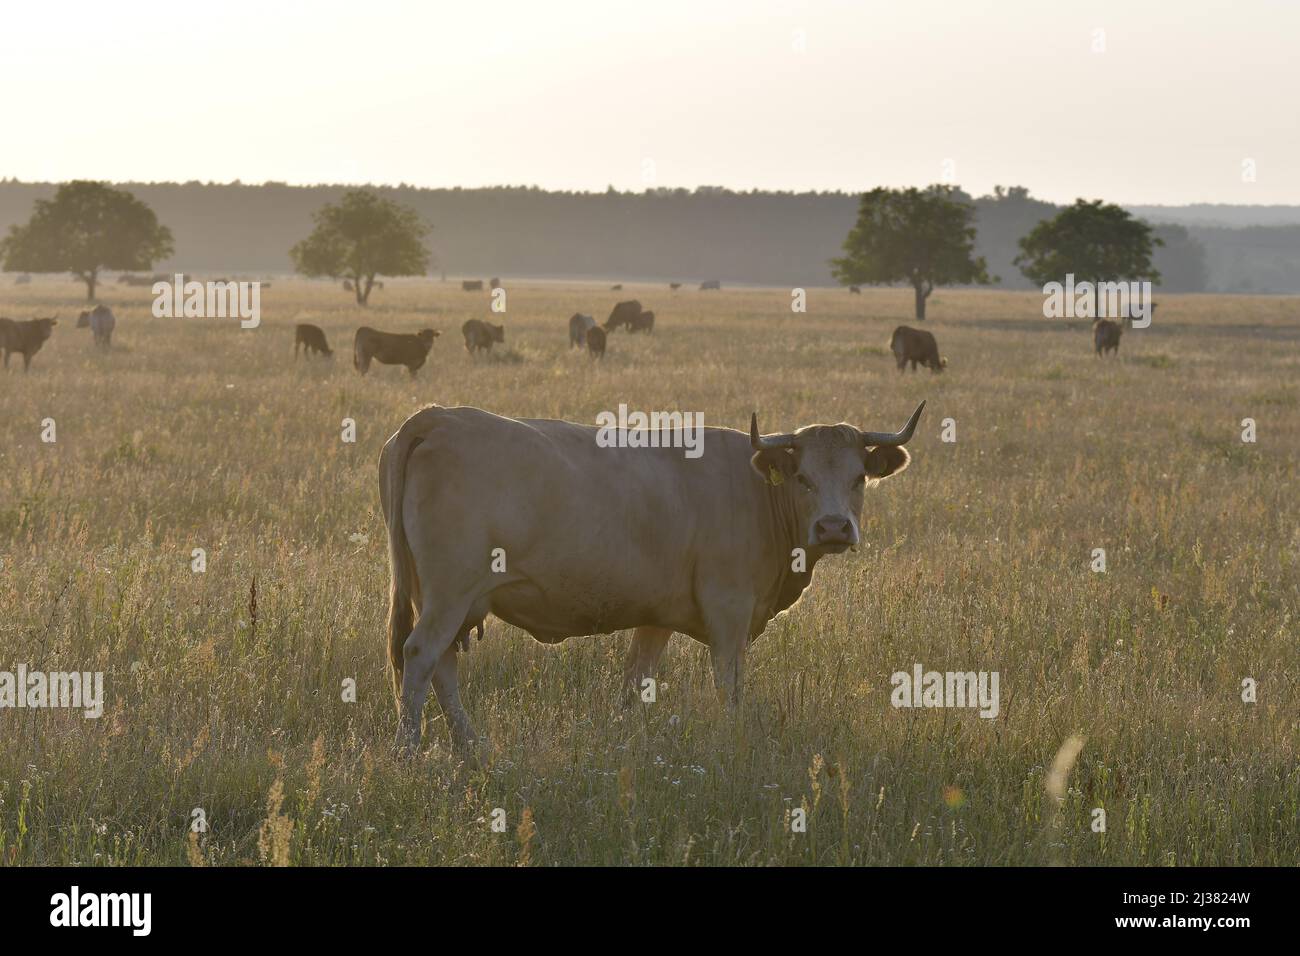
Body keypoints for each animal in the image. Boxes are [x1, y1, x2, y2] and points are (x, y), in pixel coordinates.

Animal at [379, 400, 924, 752]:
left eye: (859, 478)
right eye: (803, 478)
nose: (833, 527)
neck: (755, 489)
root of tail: (437, 417)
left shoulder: (655, 617)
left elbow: (634, 682)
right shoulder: (729, 610)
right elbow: (730, 685)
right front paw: (734, 740)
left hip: (444, 598)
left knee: (443, 665)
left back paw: (470, 745)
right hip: (449, 594)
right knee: (421, 655)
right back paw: (408, 749)